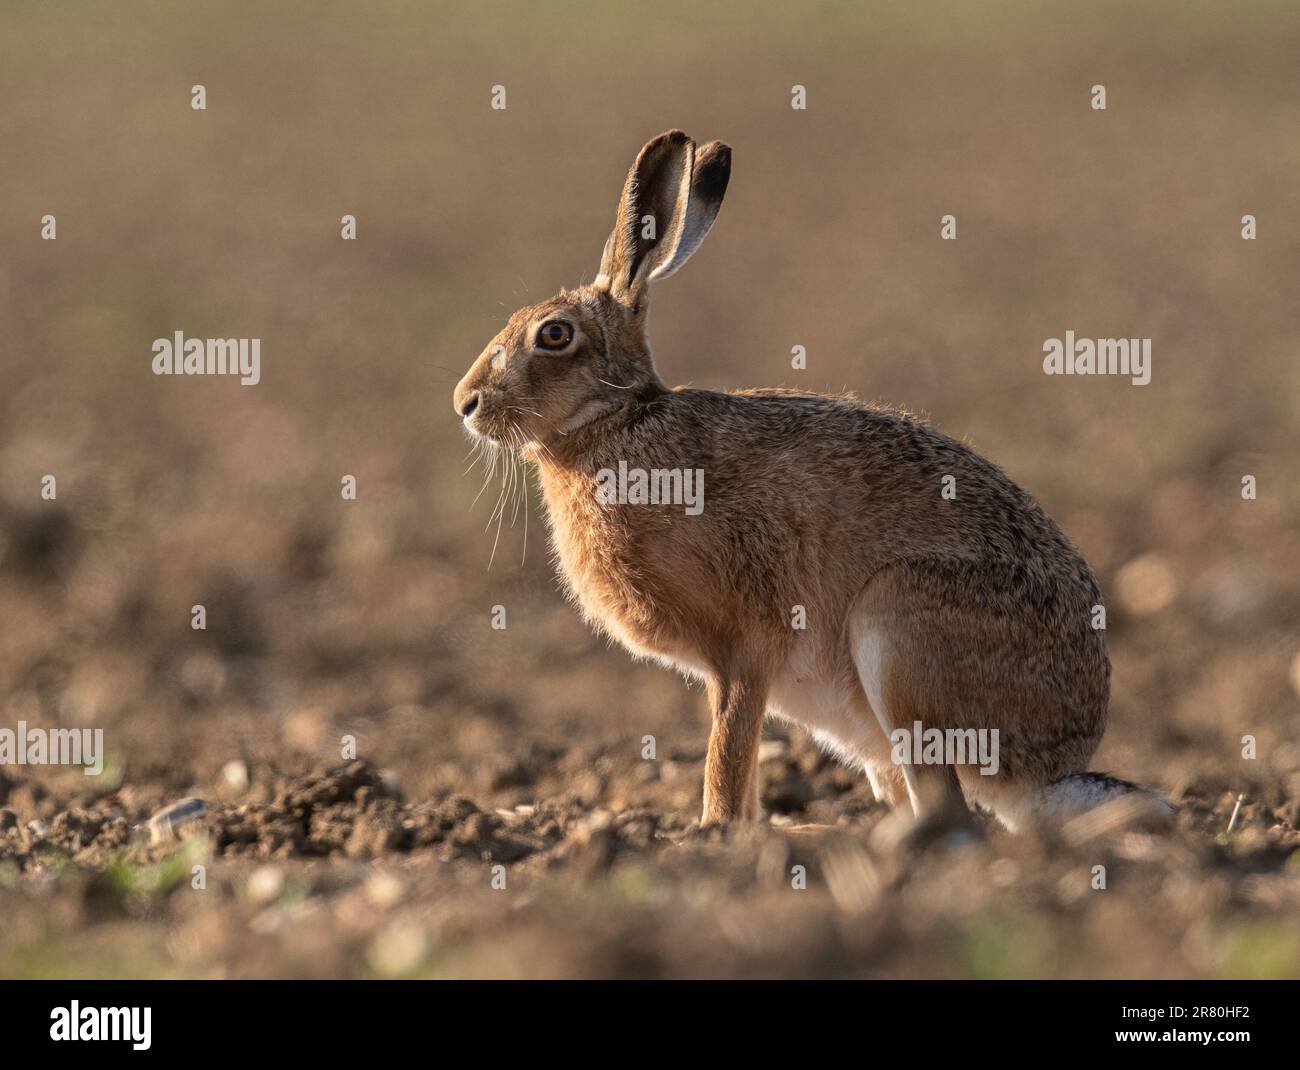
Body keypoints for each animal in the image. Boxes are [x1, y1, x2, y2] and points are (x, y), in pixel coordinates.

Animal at [453, 129, 1171, 830]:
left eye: (554, 335)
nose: (465, 402)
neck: (618, 420)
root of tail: (1049, 769)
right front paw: (744, 832)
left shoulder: (748, 646)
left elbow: (727, 751)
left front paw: (715, 834)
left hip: (898, 628)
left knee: (950, 813)